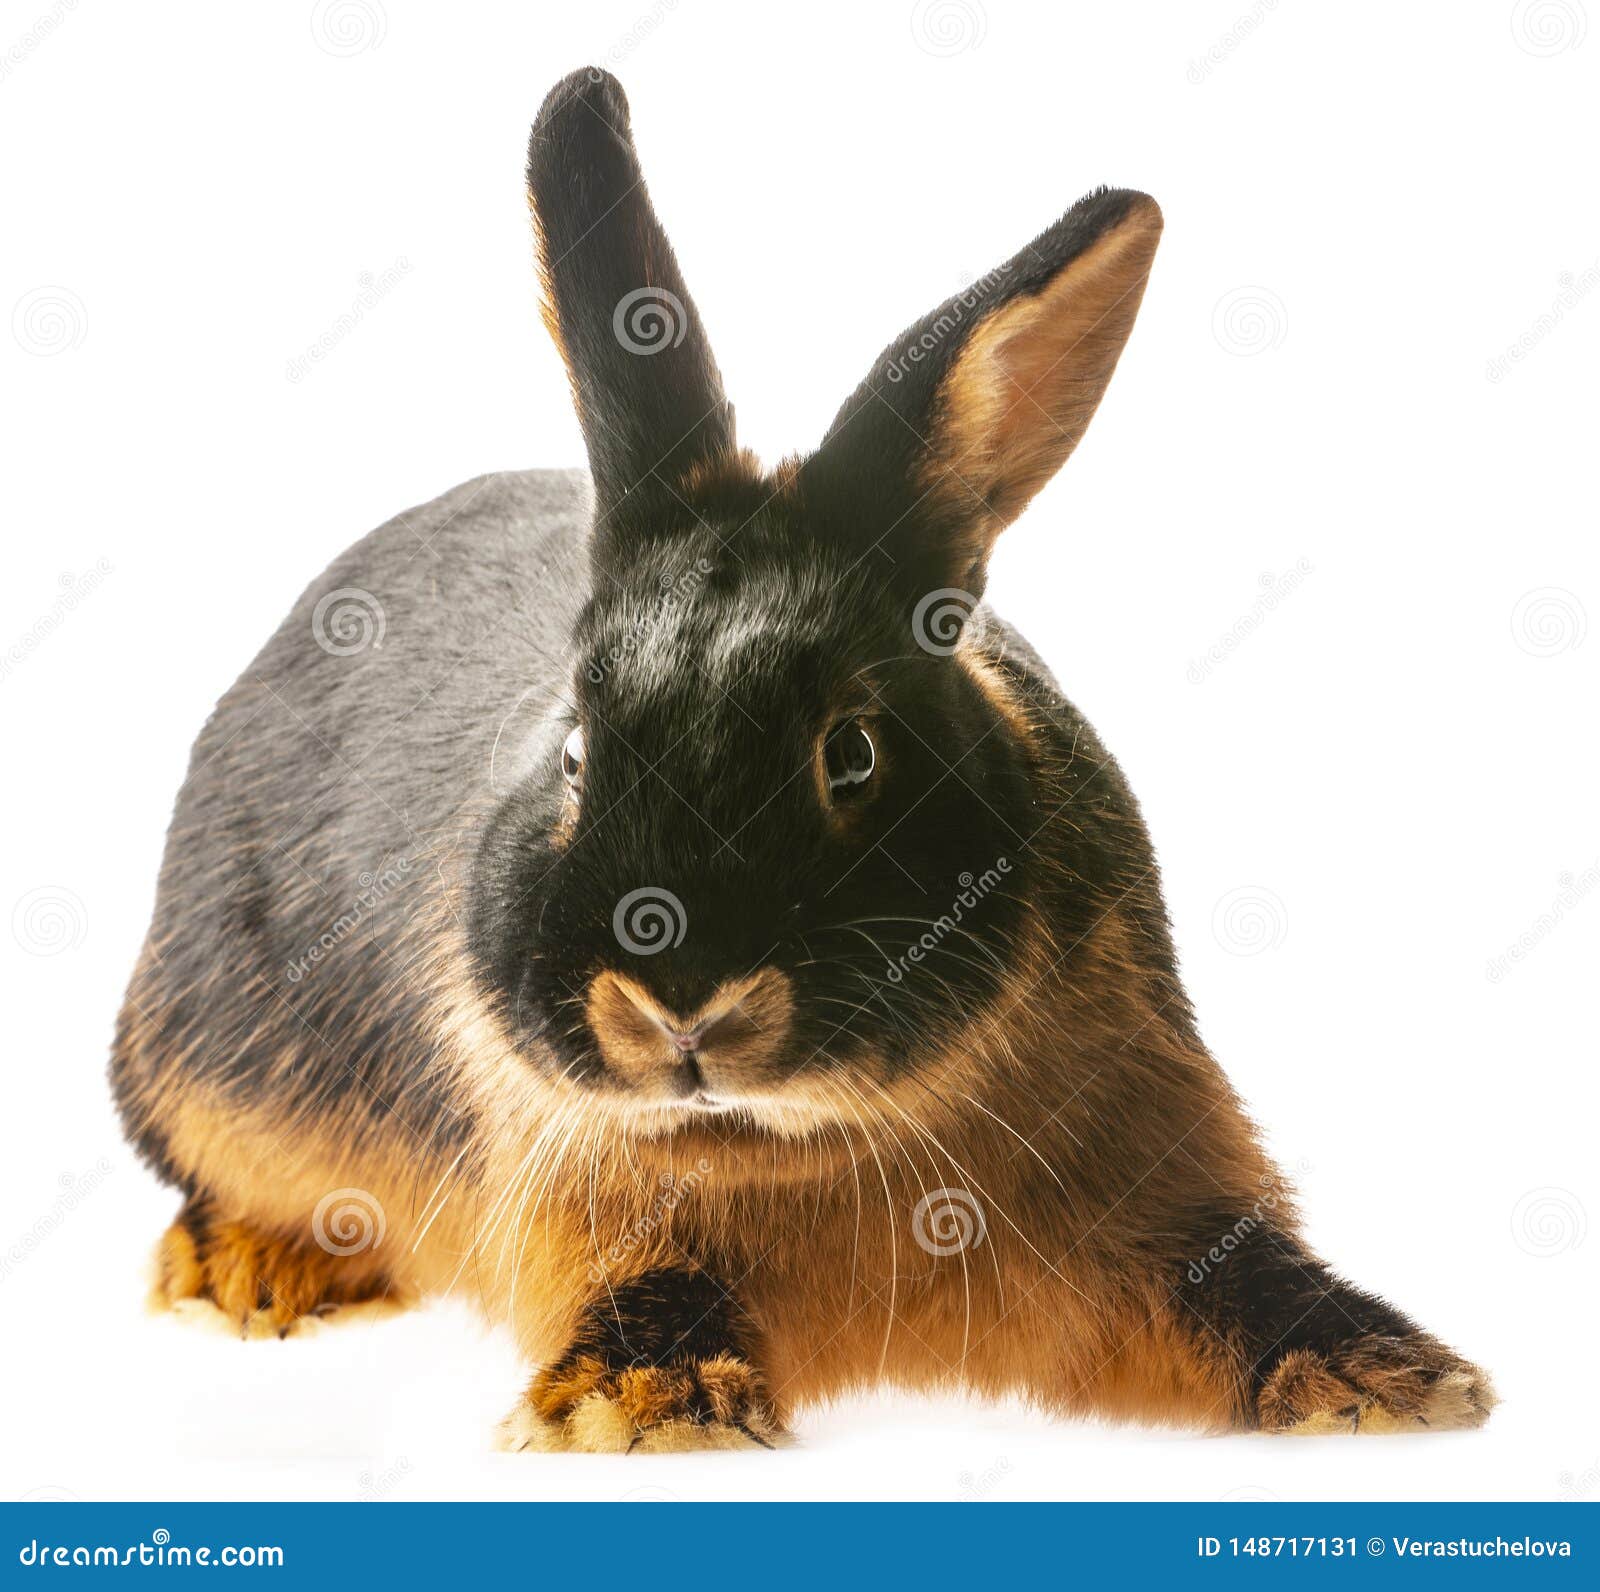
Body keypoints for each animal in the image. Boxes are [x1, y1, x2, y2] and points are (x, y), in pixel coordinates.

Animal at [111, 67, 1494, 1452]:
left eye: (854, 751)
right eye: (573, 749)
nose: (679, 1002)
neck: (806, 1137)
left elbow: (1244, 1288)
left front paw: (1400, 1386)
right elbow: (648, 1286)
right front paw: (645, 1413)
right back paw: (248, 1274)